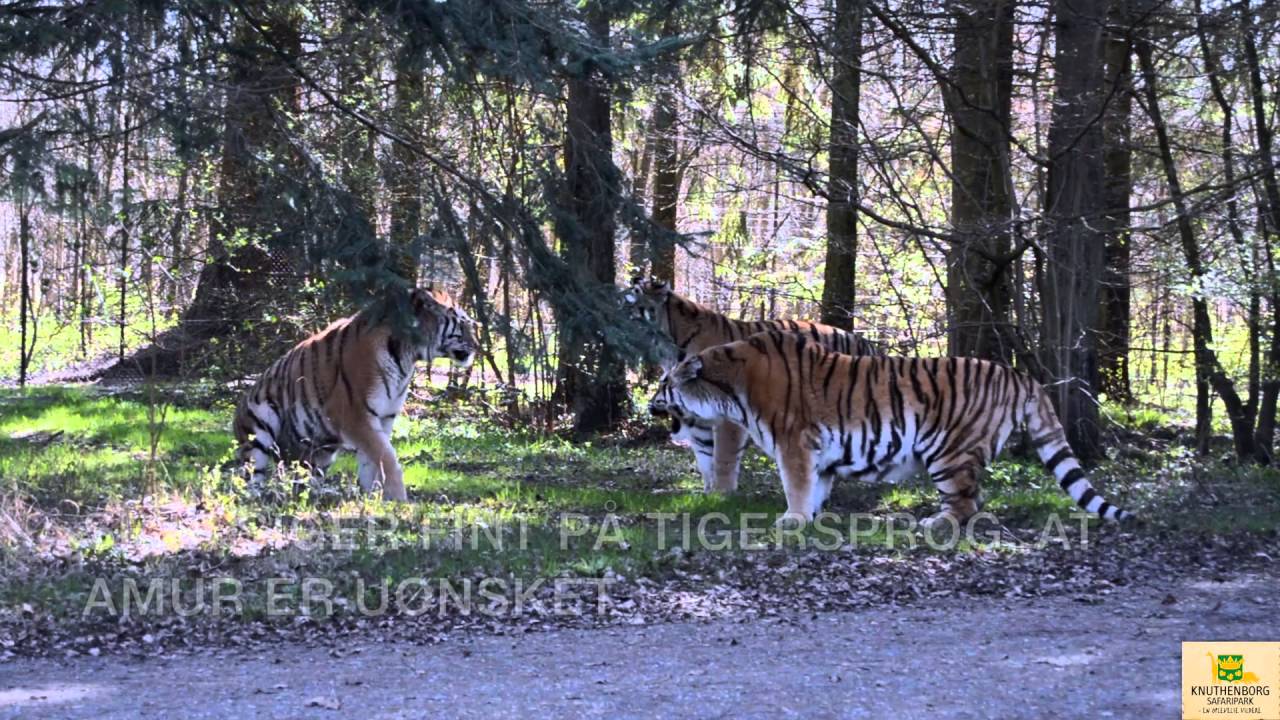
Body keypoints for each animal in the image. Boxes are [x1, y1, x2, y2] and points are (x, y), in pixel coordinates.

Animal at [233, 286, 477, 501]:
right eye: (462, 324)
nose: (476, 346)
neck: (408, 356)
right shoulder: (355, 415)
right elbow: (387, 457)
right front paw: (398, 499)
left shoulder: (384, 417)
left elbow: (373, 461)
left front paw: (373, 499)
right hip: (261, 427)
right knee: (249, 480)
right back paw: (258, 499)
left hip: (322, 448)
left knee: (302, 479)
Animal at [624, 278, 882, 494]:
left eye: (632, 300)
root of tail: (867, 343)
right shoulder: (695, 415)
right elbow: (705, 456)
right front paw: (708, 494)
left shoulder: (726, 413)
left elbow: (723, 455)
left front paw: (722, 493)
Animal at [648, 330, 1134, 528]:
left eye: (663, 384)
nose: (650, 404)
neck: (729, 387)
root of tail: (1020, 376)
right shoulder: (818, 451)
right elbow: (816, 486)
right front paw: (813, 517)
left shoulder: (794, 442)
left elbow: (795, 484)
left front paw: (793, 520)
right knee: (974, 500)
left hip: (948, 451)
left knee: (966, 503)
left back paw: (934, 524)